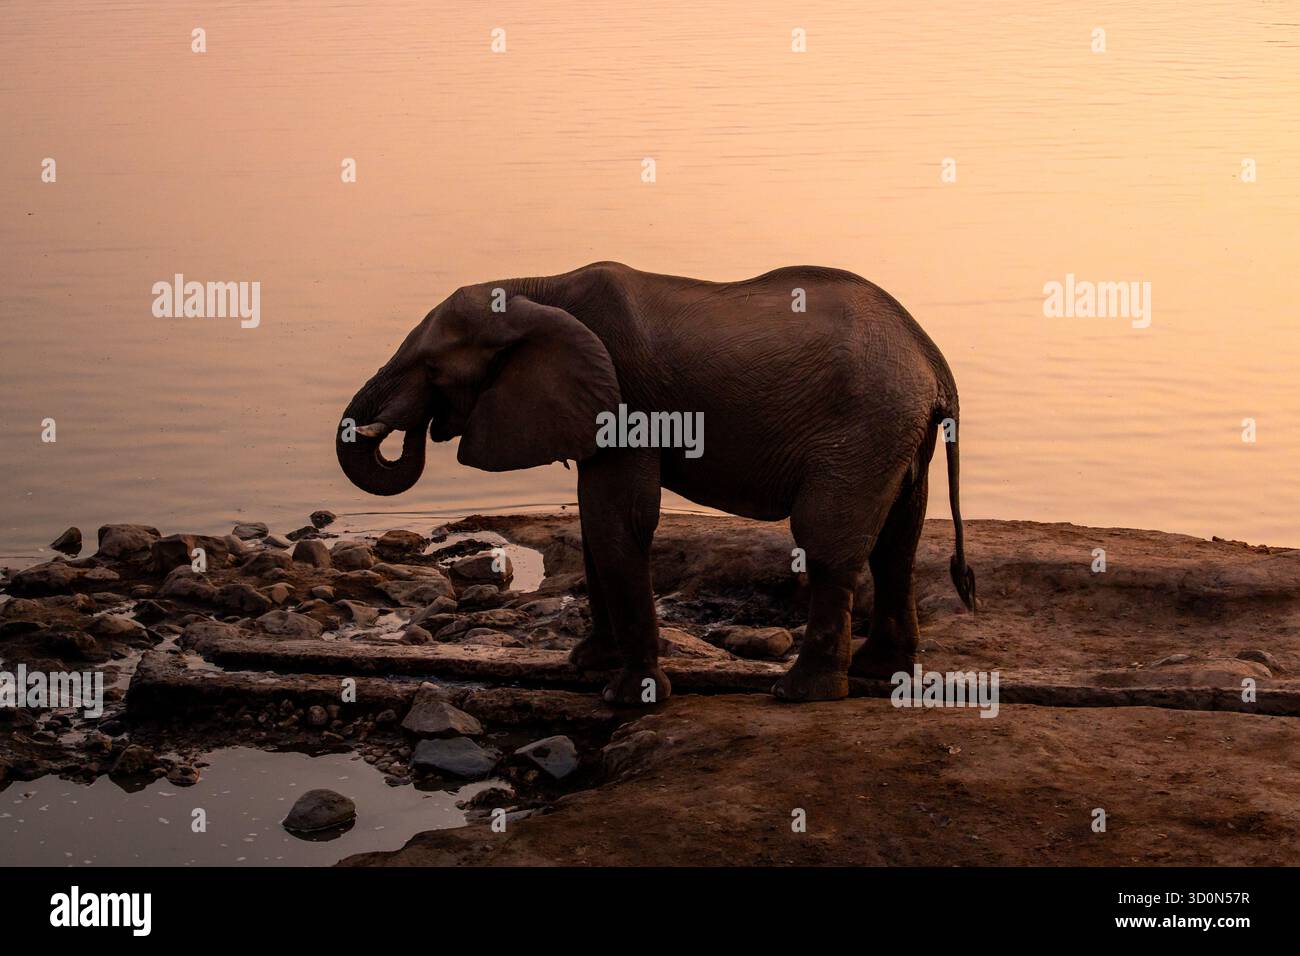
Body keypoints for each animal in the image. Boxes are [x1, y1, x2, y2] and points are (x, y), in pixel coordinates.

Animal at [337, 261, 975, 705]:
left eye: (433, 368)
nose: (420, 426)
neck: (534, 288)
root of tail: (933, 360)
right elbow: (594, 526)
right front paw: (587, 664)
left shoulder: (627, 400)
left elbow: (619, 519)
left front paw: (630, 696)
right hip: (895, 433)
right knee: (898, 542)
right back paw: (880, 670)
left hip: (864, 428)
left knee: (826, 541)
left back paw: (800, 693)